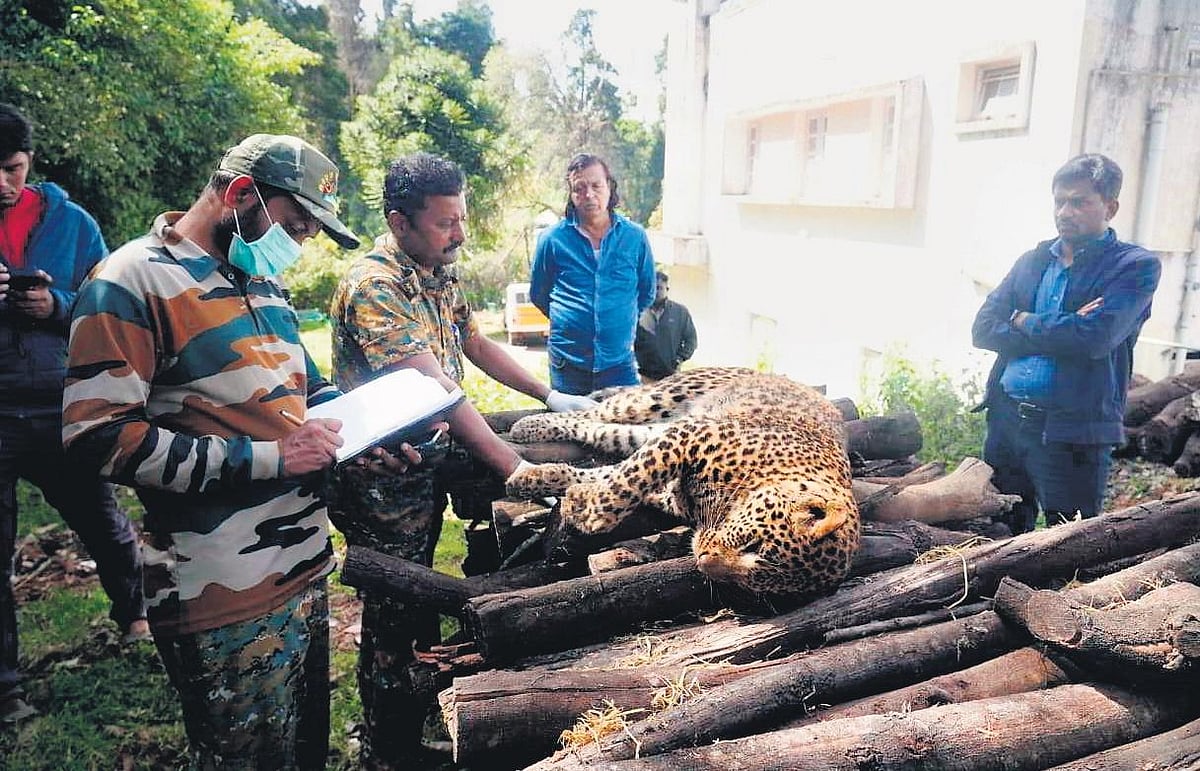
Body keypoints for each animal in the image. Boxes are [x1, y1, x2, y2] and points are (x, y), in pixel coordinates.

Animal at [506, 367, 861, 597]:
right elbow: (628, 481)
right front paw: (591, 514)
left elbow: (616, 476)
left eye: (751, 582)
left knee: (601, 431)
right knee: (591, 413)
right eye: (753, 546)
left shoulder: (672, 479)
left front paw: (575, 494)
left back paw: (529, 470)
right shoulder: (691, 435)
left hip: (648, 427)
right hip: (659, 398)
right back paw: (529, 425)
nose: (703, 562)